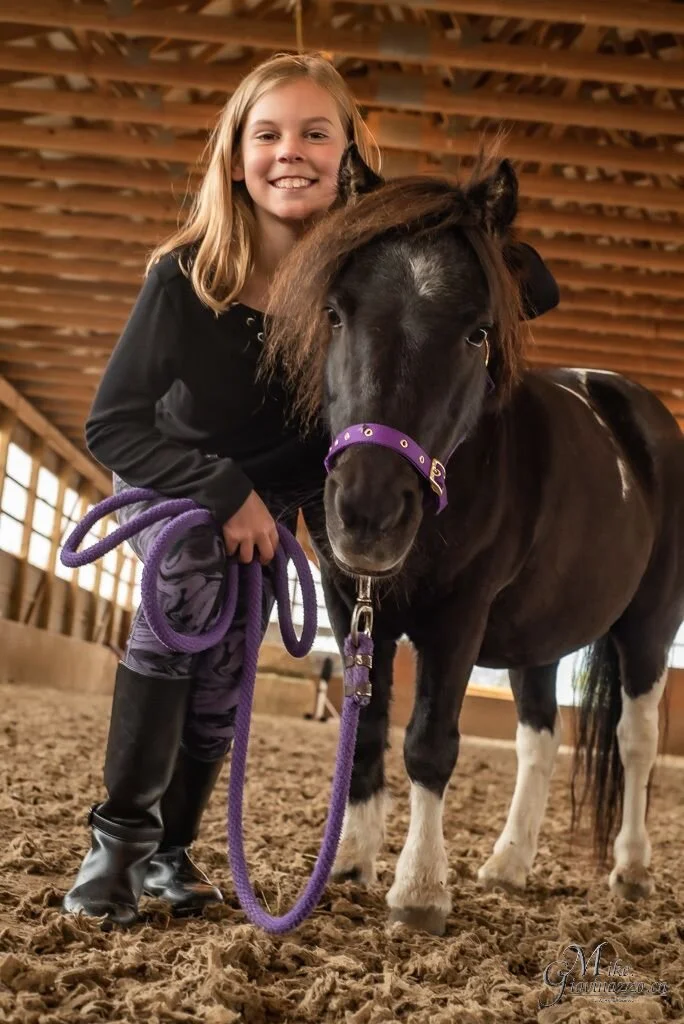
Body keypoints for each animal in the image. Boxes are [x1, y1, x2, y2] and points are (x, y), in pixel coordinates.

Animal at [264, 145, 684, 935]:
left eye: (477, 332)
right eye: (335, 314)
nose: (368, 514)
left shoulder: (458, 615)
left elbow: (430, 742)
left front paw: (420, 890)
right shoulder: (348, 600)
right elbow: (366, 728)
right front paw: (349, 862)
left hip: (649, 625)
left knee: (636, 741)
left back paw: (633, 869)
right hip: (539, 639)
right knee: (540, 741)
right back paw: (509, 864)